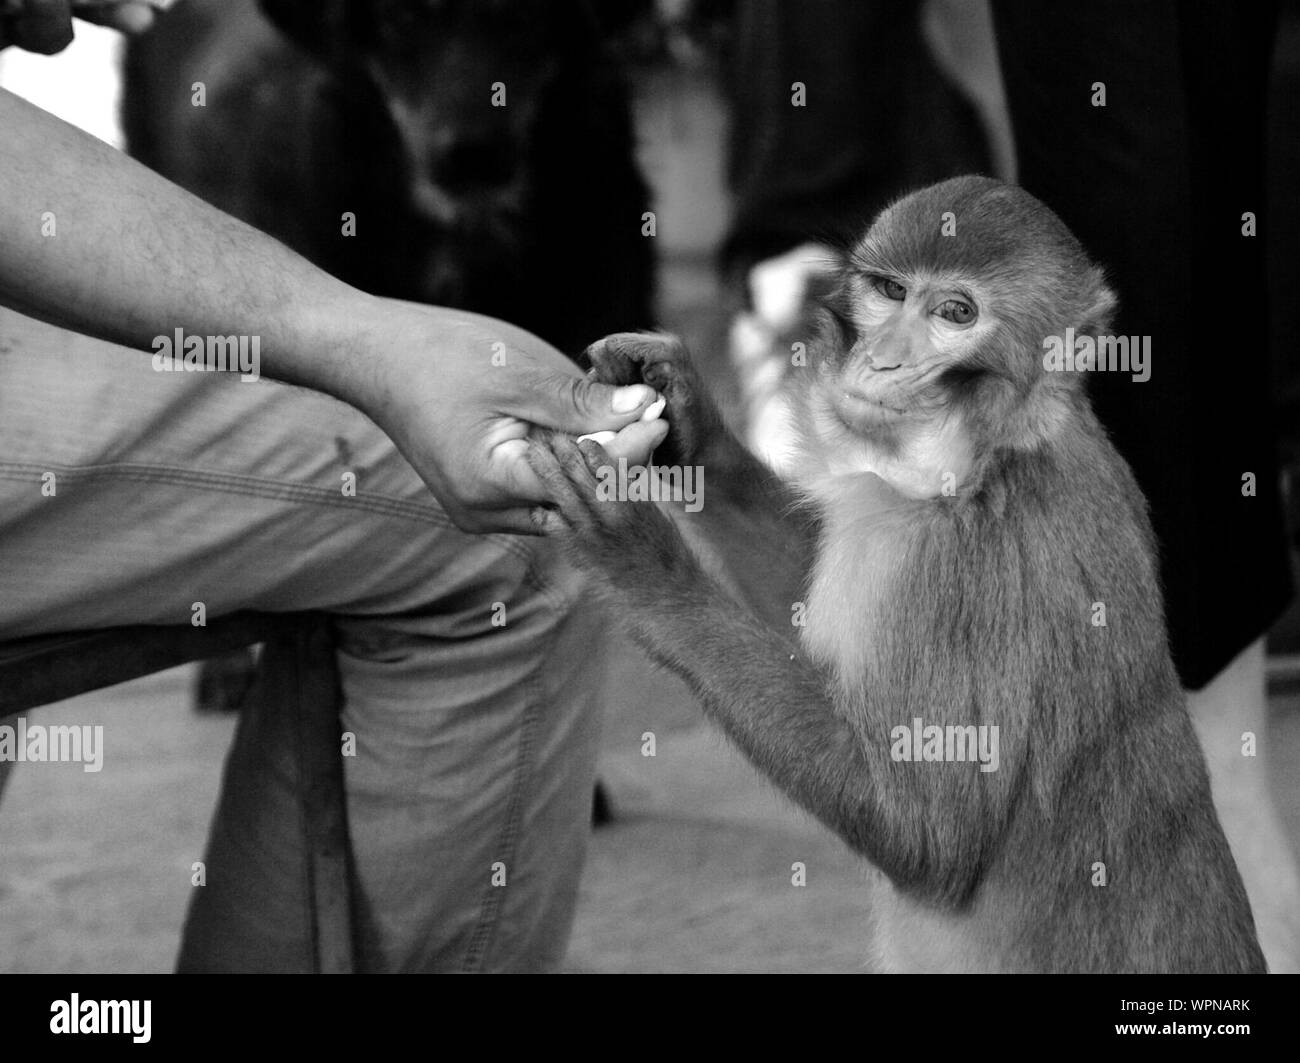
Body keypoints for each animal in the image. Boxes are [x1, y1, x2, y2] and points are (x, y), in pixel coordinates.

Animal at [525, 176, 1268, 973]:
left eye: (956, 313)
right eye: (888, 291)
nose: (881, 359)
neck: (988, 458)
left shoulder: (963, 571)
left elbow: (927, 835)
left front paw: (641, 556)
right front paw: (692, 421)